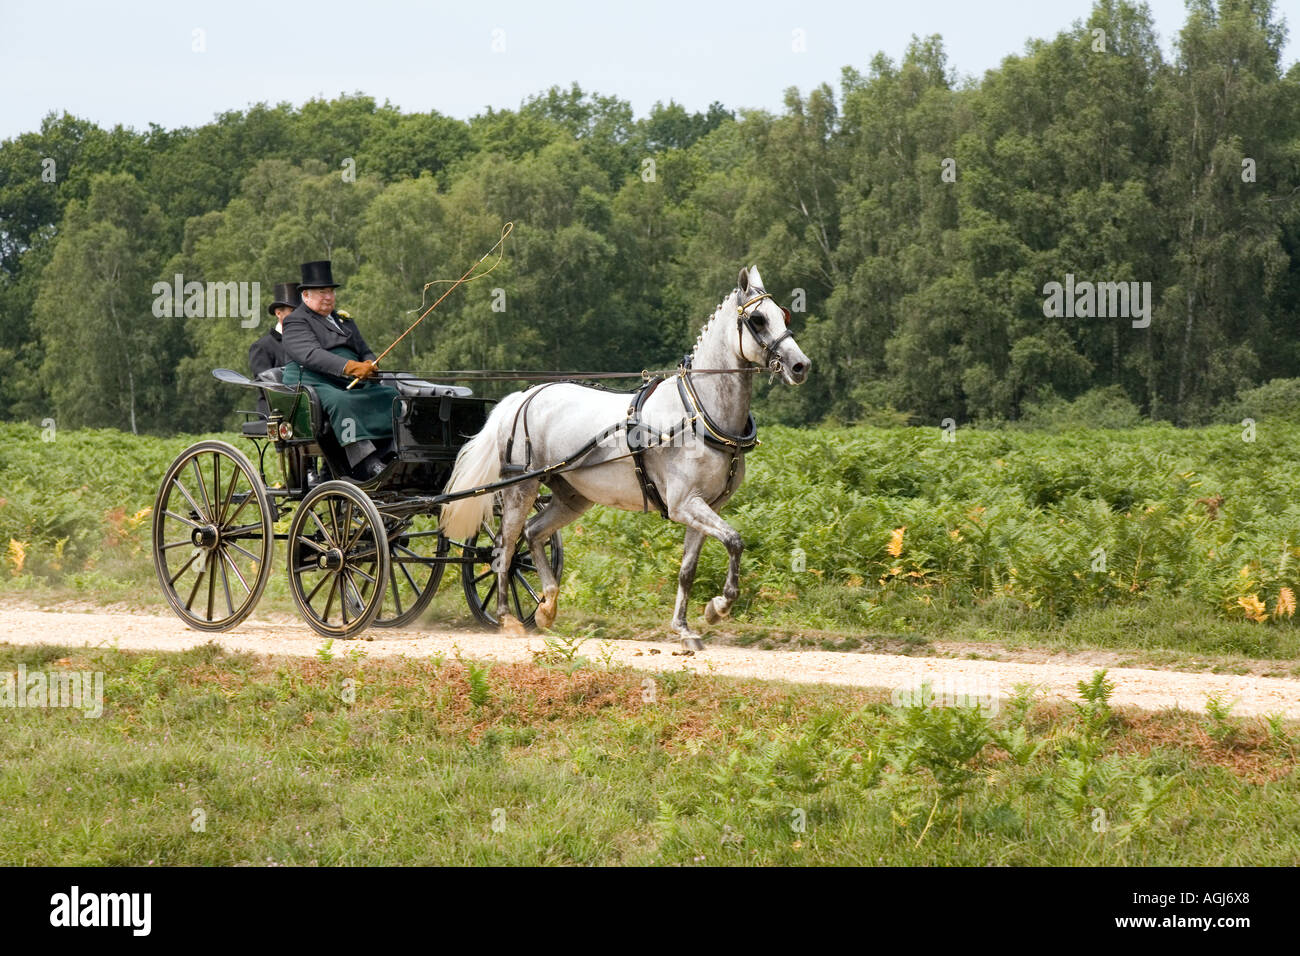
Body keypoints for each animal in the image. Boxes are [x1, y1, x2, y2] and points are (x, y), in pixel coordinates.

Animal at [438, 265, 811, 649]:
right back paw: (507, 617)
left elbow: (688, 569)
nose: (801, 365)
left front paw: (686, 627)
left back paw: (547, 606)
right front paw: (719, 606)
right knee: (505, 546)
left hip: (573, 496)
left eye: (784, 315)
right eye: (757, 319)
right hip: (520, 488)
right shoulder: (684, 504)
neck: (699, 413)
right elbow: (735, 541)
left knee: (533, 533)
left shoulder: (707, 506)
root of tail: (523, 396)